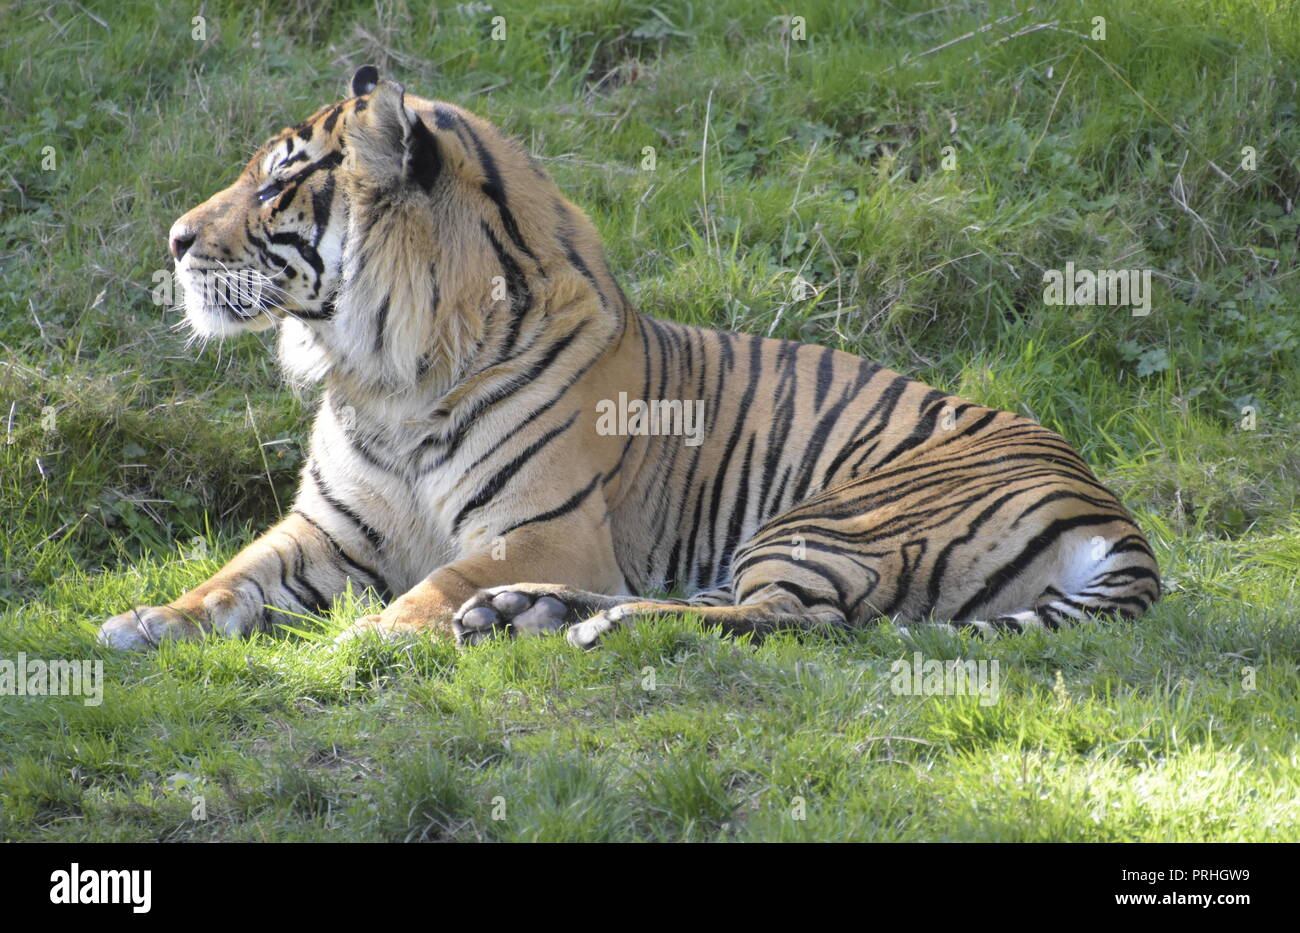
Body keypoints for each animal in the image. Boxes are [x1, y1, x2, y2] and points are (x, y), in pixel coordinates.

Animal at [97, 65, 1160, 652]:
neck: (386, 376)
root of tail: (1110, 508)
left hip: (833, 519)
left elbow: (440, 579)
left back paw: (570, 622)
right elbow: (233, 574)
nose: (174, 240)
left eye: (276, 184)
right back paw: (523, 614)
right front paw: (144, 620)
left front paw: (379, 633)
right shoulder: (329, 528)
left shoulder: (549, 527)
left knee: (794, 621)